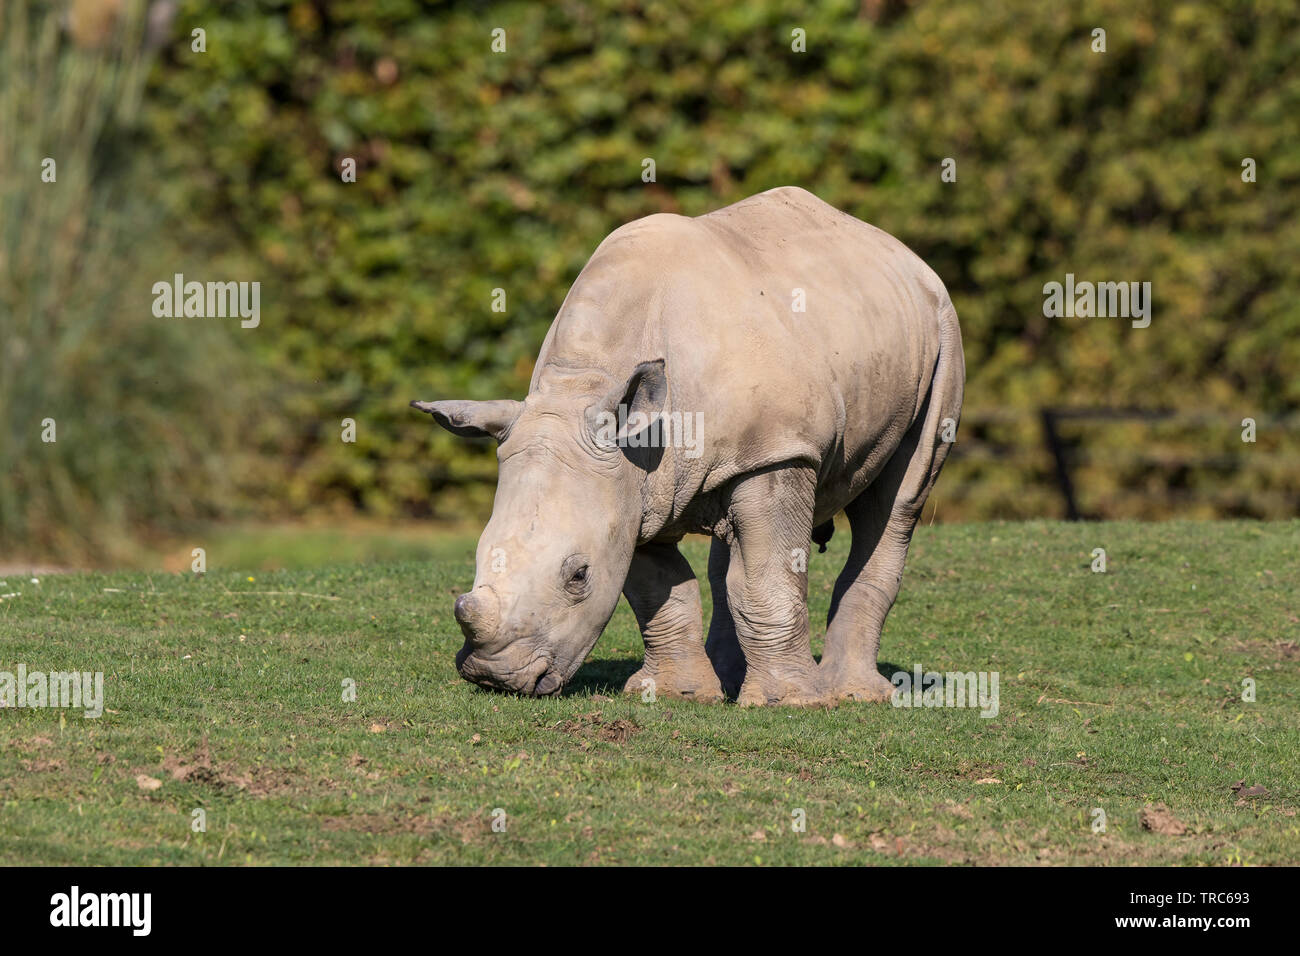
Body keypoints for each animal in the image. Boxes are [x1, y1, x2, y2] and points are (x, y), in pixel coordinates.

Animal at [413, 186, 964, 706]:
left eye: (579, 576)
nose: (495, 677)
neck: (583, 385)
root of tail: (900, 251)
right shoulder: (631, 481)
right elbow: (659, 588)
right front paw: (675, 694)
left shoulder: (777, 451)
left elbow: (768, 580)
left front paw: (792, 703)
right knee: (735, 548)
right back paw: (731, 678)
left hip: (942, 329)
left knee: (896, 505)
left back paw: (850, 694)